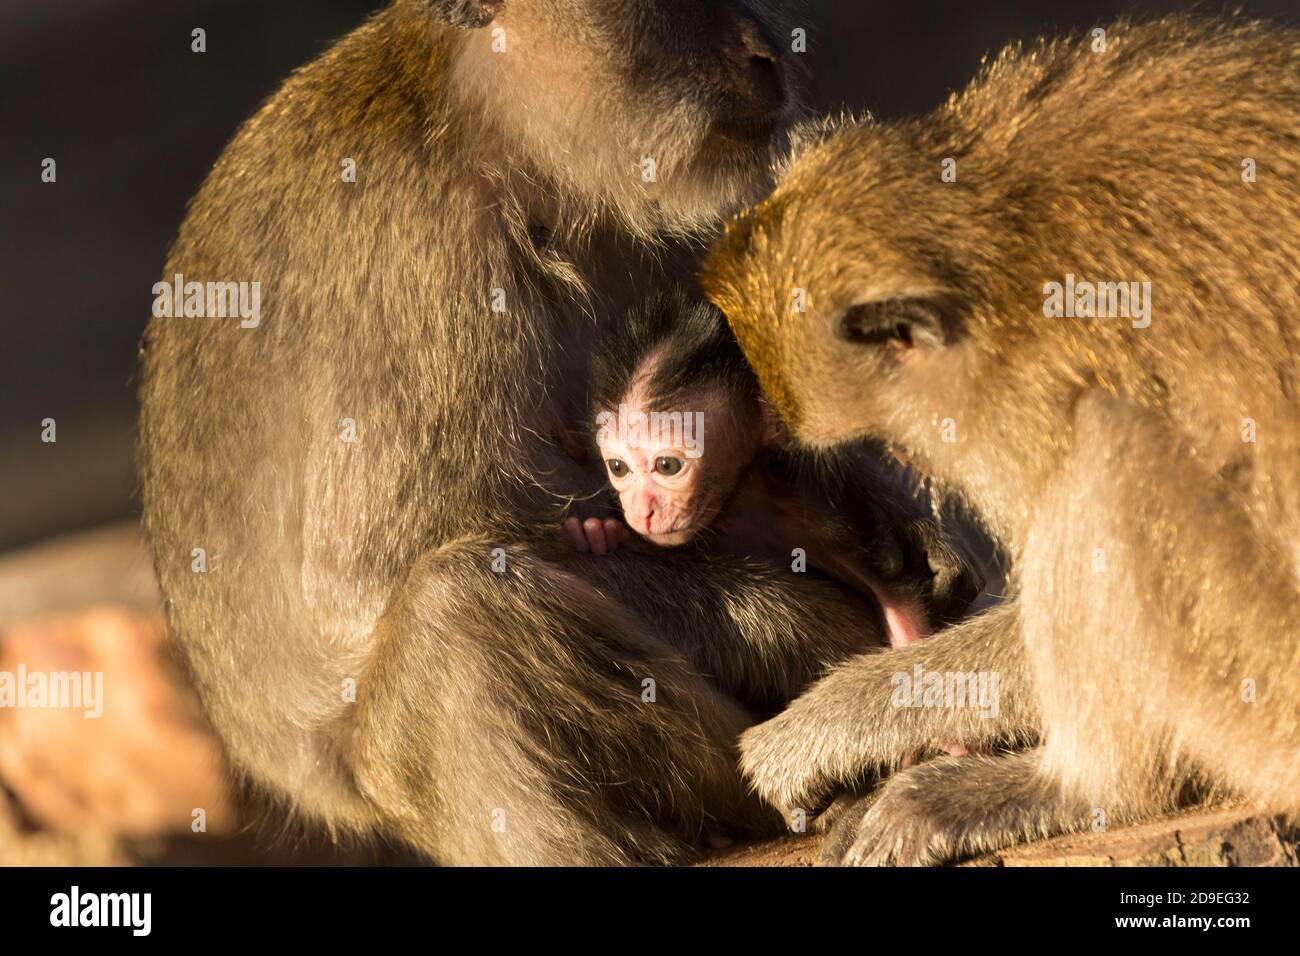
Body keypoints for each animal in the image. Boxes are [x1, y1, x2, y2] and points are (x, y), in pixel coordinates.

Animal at [566, 287, 979, 650]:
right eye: (618, 467)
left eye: (667, 465)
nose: (642, 513)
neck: (736, 507)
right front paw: (597, 533)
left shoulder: (817, 519)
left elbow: (899, 604)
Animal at [701, 15, 1300, 865]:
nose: (911, 465)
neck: (1009, 242)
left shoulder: (1024, 400)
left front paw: (827, 722)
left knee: (1112, 449)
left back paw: (1080, 789)